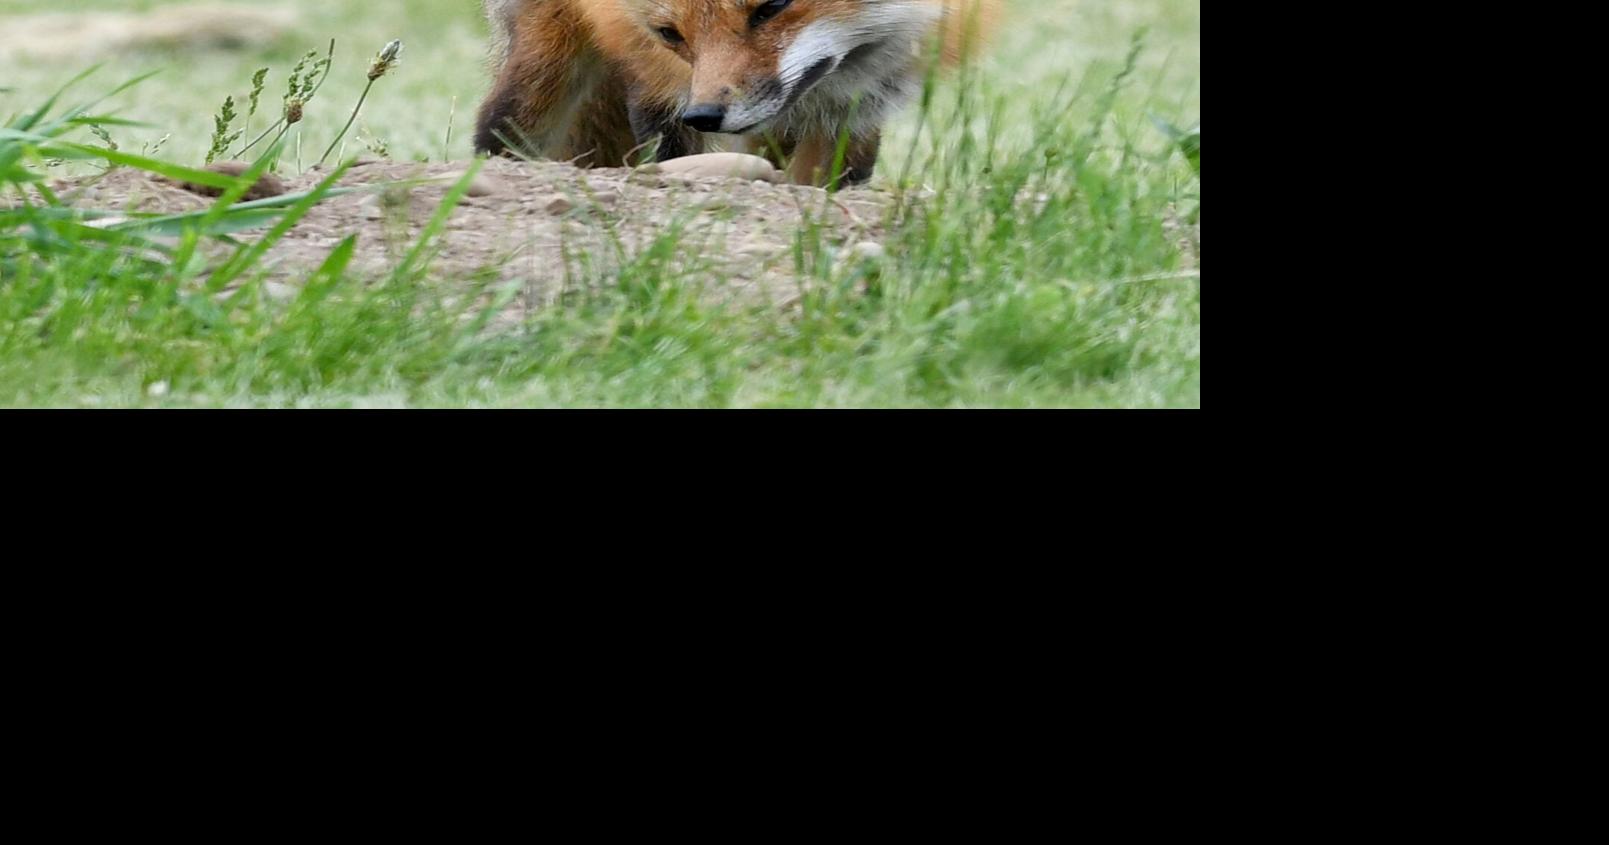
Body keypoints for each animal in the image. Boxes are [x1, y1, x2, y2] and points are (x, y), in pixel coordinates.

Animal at [475, 0, 996, 186]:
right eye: (671, 33)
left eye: (772, 7)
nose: (705, 115)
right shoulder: (660, 83)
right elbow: (669, 147)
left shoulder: (860, 104)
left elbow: (838, 172)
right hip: (542, 72)